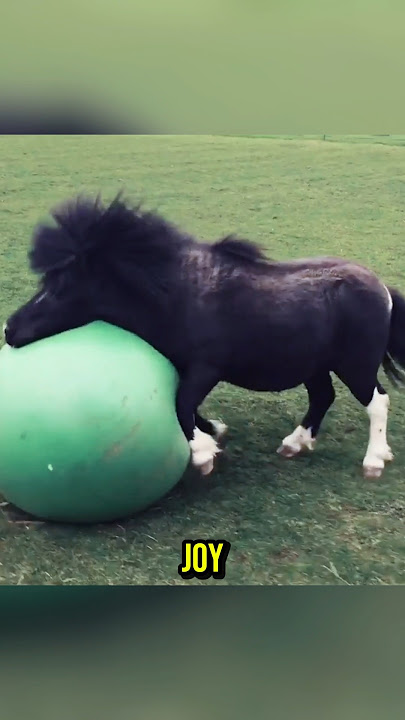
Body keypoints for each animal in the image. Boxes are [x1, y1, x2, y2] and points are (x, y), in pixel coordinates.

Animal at [5, 194, 405, 479]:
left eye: (59, 287)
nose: (9, 329)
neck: (178, 295)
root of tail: (382, 288)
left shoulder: (205, 368)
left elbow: (181, 403)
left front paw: (202, 454)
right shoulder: (186, 368)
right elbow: (187, 405)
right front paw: (214, 433)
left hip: (355, 366)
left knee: (377, 402)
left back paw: (374, 459)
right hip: (315, 367)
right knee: (323, 397)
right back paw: (295, 443)